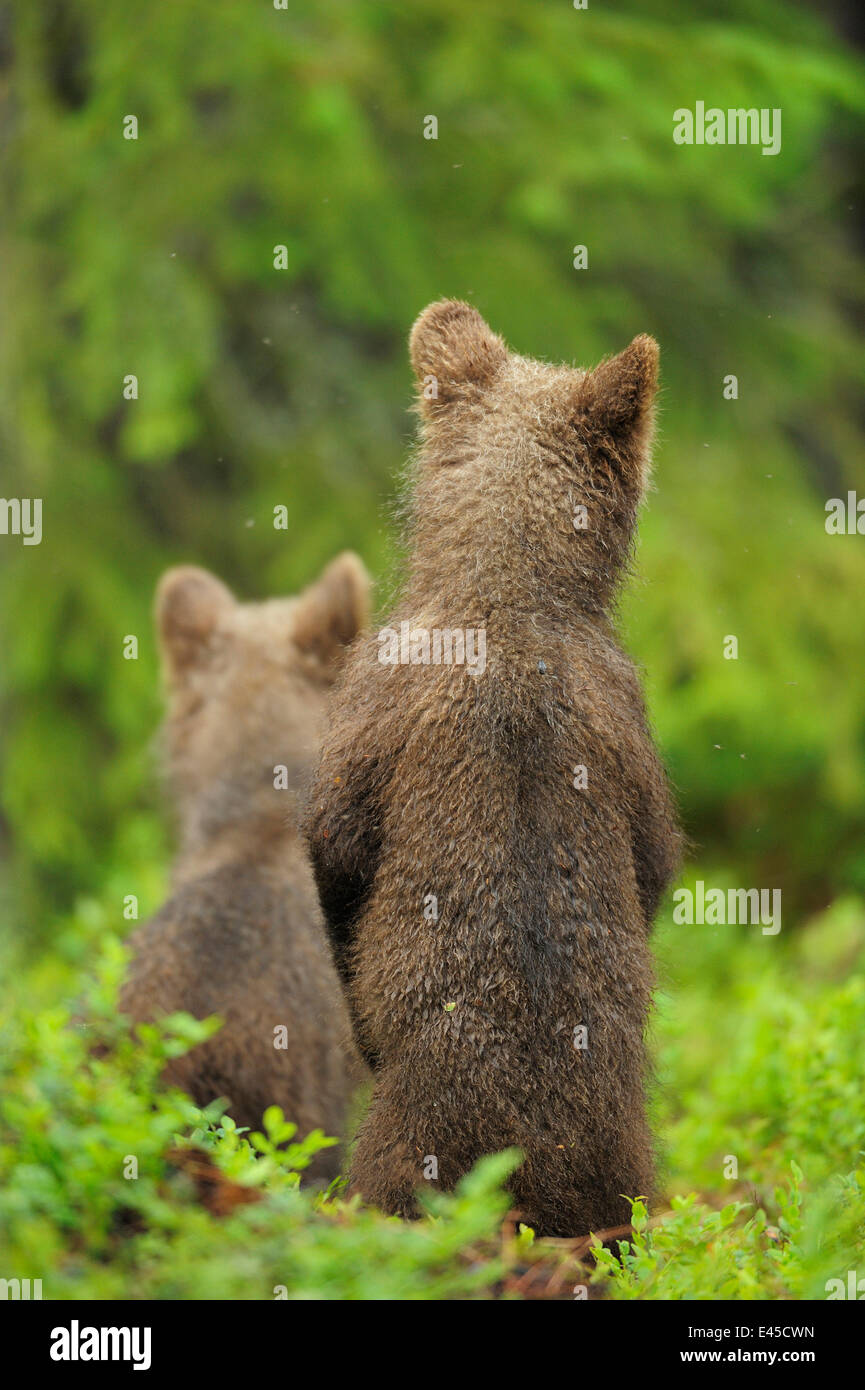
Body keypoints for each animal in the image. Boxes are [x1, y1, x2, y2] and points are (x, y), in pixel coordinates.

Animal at [304, 301, 682, 1233]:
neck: (510, 591)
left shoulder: (369, 723)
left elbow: (335, 851)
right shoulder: (628, 732)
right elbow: (653, 853)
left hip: (401, 1148)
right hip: (623, 1167)